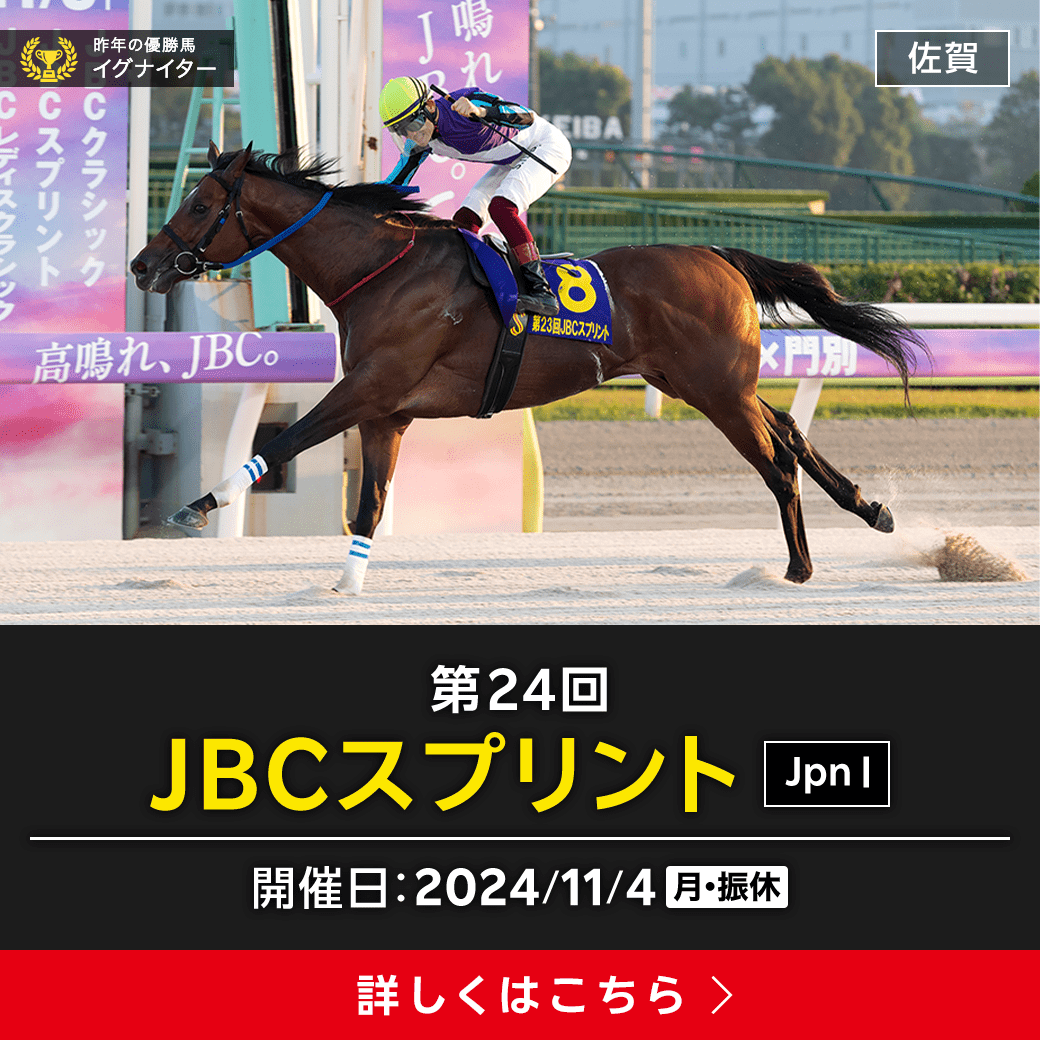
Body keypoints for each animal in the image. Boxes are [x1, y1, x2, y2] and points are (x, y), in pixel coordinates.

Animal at [130, 143, 927, 593]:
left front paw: (193, 508)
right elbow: (370, 504)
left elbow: (285, 443)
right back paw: (871, 508)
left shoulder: (368, 388)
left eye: (198, 203)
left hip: (717, 390)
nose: (141, 265)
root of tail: (717, 253)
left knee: (778, 462)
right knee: (790, 426)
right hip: (703, 383)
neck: (381, 269)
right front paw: (344, 586)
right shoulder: (388, 411)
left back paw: (798, 568)